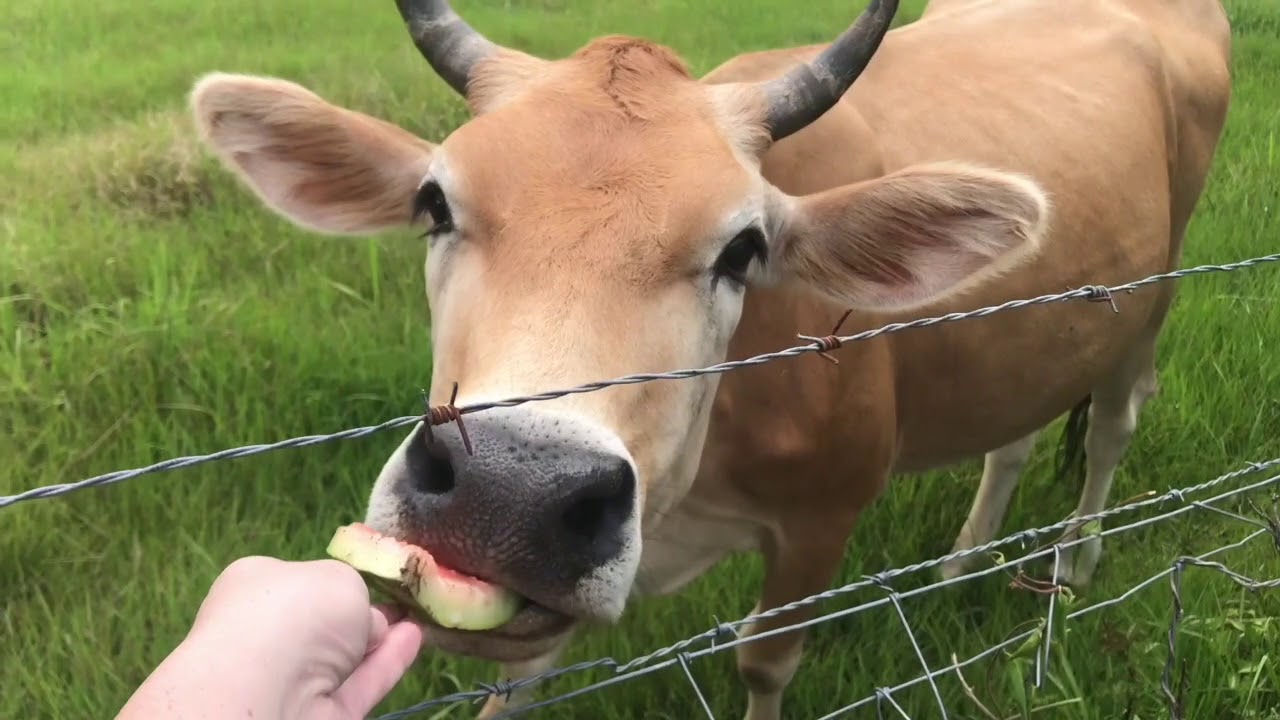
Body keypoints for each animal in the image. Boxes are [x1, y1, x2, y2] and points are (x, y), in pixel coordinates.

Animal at [187, 0, 1233, 716]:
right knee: (1014, 434)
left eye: (743, 249)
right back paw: (965, 558)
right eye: (435, 204)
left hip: (1154, 298)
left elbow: (765, 661)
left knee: (1112, 427)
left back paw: (1075, 559)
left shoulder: (822, 522)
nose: (507, 496)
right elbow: (515, 680)